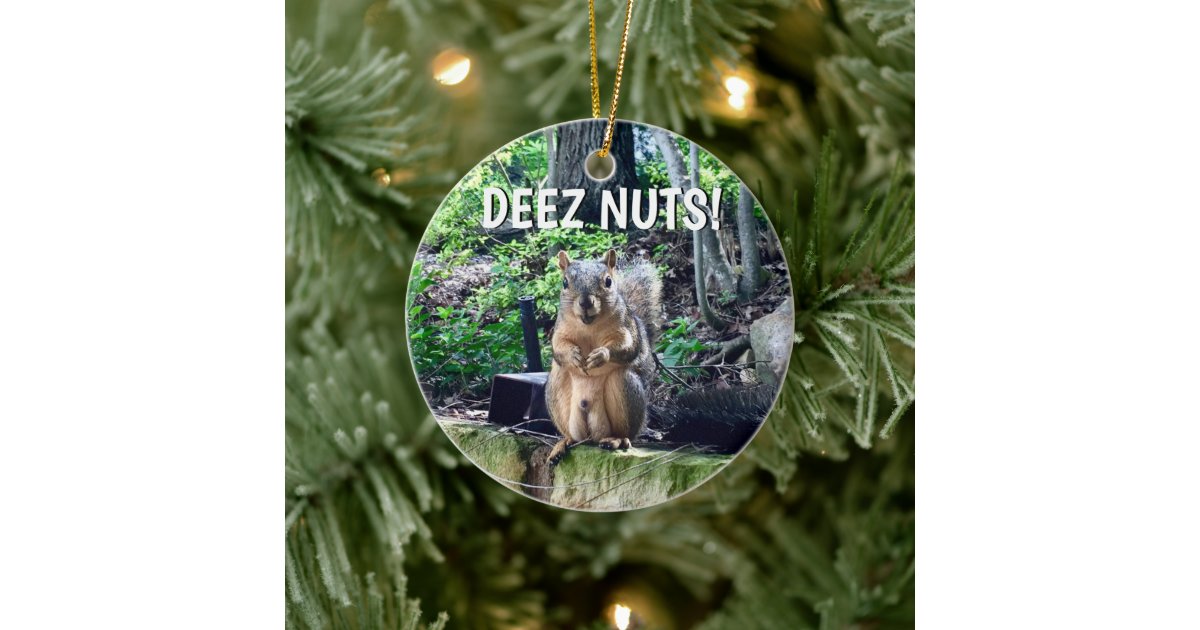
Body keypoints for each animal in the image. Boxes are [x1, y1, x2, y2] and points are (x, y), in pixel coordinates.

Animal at [545, 249, 662, 464]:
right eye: (565, 282)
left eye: (608, 281)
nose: (585, 302)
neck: (589, 325)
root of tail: (592, 436)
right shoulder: (560, 330)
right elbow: (558, 347)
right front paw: (573, 355)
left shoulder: (626, 328)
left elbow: (628, 346)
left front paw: (600, 355)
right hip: (556, 389)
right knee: (573, 436)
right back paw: (563, 443)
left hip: (625, 388)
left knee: (624, 433)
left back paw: (617, 440)